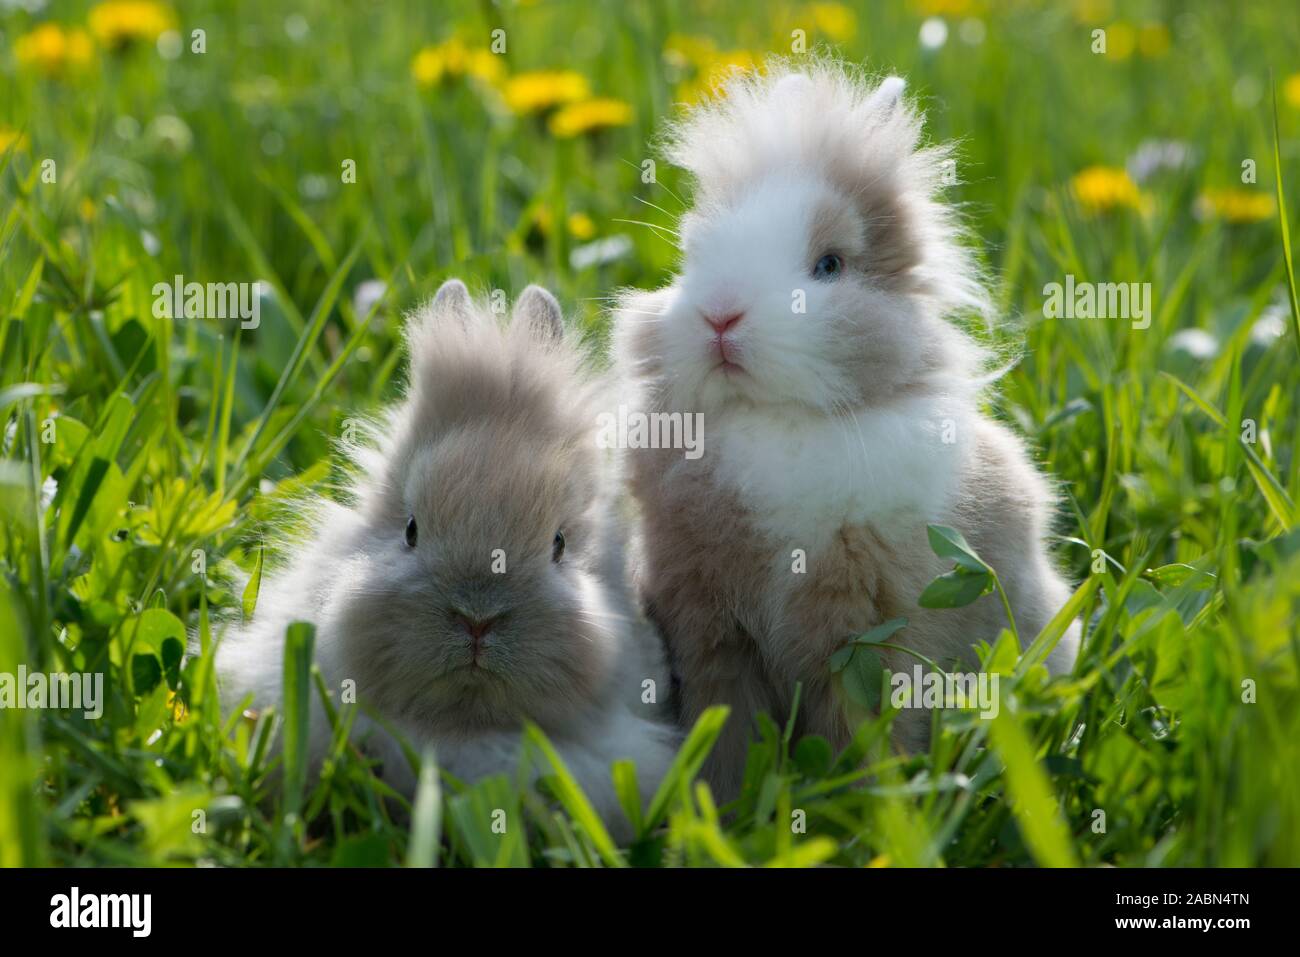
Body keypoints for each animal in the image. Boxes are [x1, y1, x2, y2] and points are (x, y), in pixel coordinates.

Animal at [612, 60, 1081, 801]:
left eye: (829, 266)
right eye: (692, 254)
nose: (720, 316)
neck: (777, 420)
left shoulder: (868, 627)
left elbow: (864, 729)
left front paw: (872, 806)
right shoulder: (708, 626)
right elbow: (727, 726)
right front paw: (721, 804)